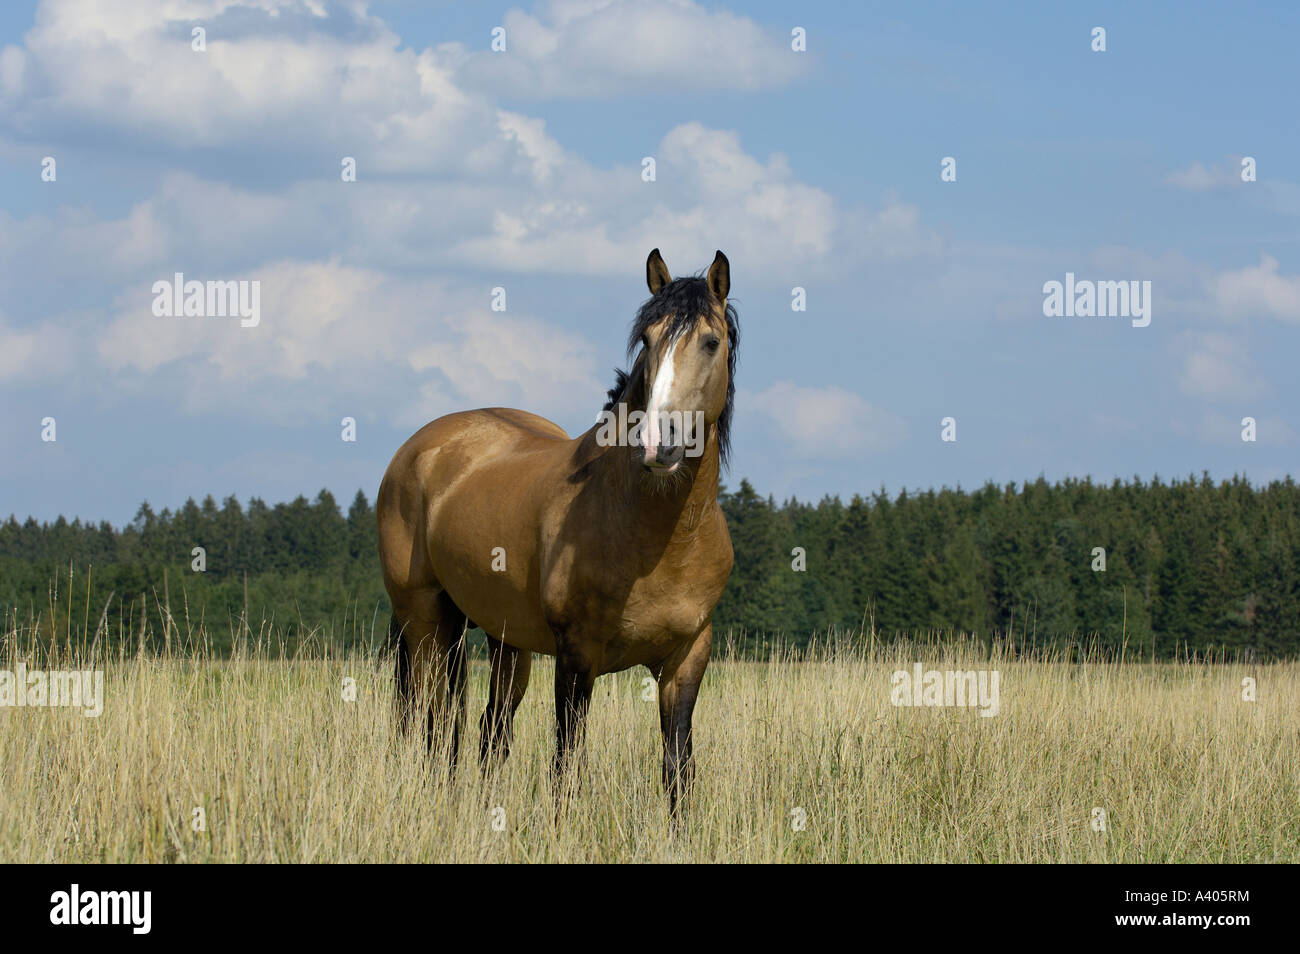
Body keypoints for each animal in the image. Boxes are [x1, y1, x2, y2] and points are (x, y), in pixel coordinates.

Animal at [376, 249, 737, 812]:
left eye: (710, 341)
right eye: (647, 339)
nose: (660, 443)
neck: (660, 538)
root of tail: (420, 447)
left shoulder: (687, 659)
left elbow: (678, 771)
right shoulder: (576, 657)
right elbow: (566, 769)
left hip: (503, 641)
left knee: (489, 731)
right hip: (425, 624)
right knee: (434, 723)